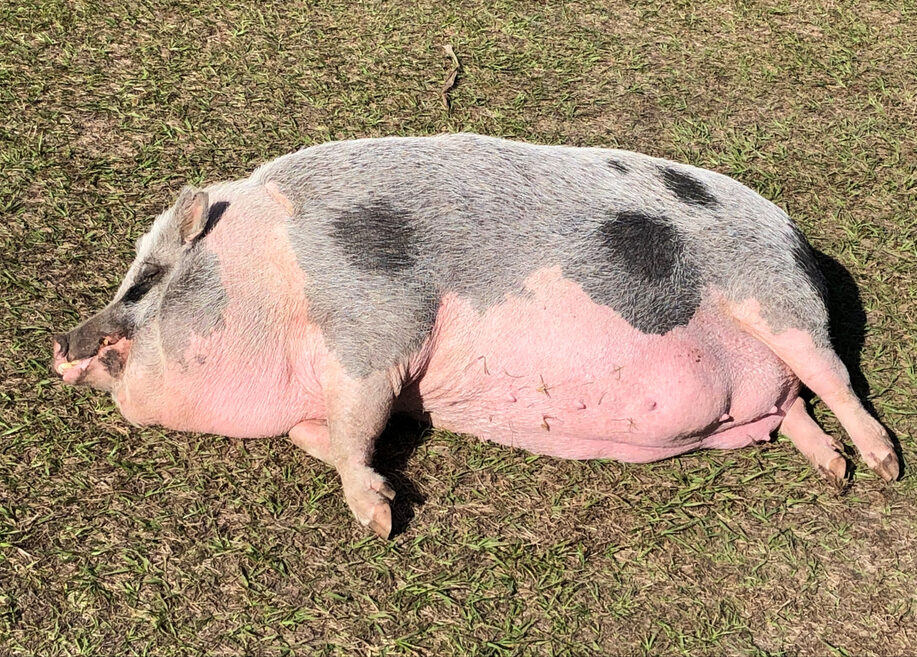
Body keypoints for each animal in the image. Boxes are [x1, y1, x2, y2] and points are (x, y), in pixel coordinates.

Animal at [53, 133, 899, 538]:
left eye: (145, 280)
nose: (60, 344)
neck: (271, 271)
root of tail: (795, 236)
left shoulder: (375, 318)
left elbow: (356, 418)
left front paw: (379, 521)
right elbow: (321, 432)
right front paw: (387, 498)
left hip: (778, 300)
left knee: (834, 379)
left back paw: (881, 467)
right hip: (769, 369)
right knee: (792, 406)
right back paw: (832, 472)